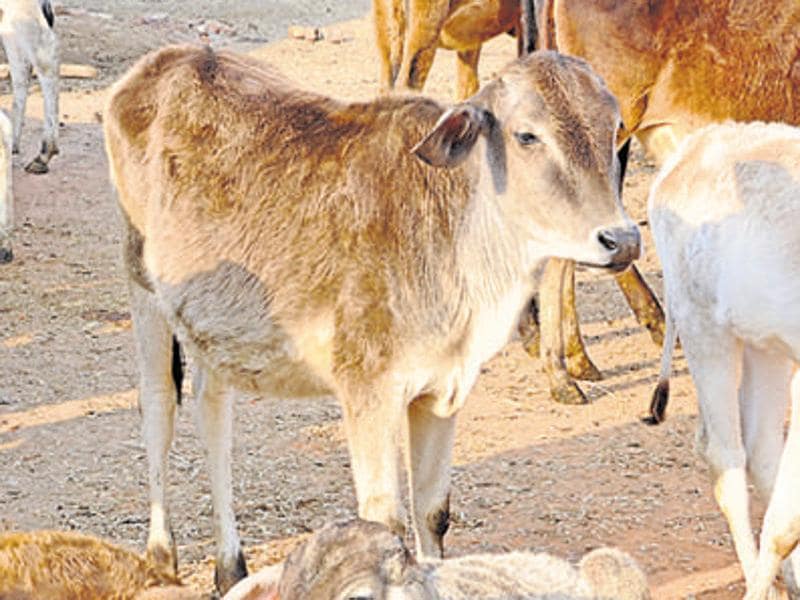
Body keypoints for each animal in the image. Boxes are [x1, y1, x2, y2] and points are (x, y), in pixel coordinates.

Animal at [104, 44, 639, 593]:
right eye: (527, 135)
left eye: (614, 127)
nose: (621, 240)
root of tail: (166, 61)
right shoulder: (368, 389)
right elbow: (385, 522)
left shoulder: (442, 390)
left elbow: (433, 511)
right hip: (142, 284)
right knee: (158, 406)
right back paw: (161, 555)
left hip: (213, 326)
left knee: (212, 407)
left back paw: (230, 567)